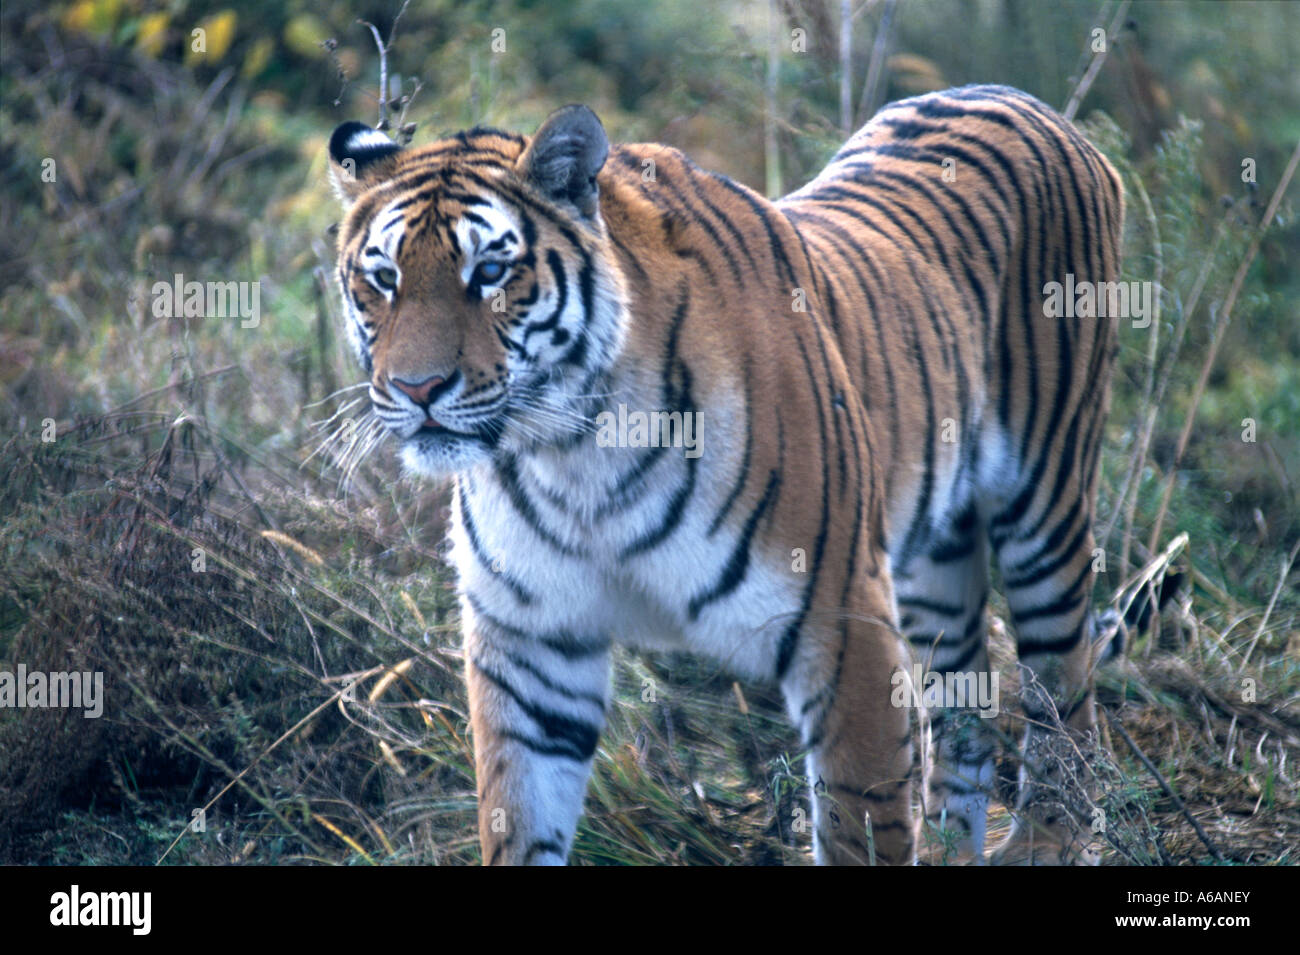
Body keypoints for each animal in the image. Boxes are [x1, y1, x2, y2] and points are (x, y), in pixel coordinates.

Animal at [327, 83, 1125, 865]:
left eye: (489, 273)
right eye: (384, 279)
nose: (417, 389)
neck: (571, 456)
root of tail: (1036, 107)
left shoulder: (844, 623)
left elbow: (860, 824)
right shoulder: (530, 646)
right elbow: (518, 821)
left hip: (1045, 511)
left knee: (1068, 697)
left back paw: (1044, 842)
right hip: (935, 562)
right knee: (966, 705)